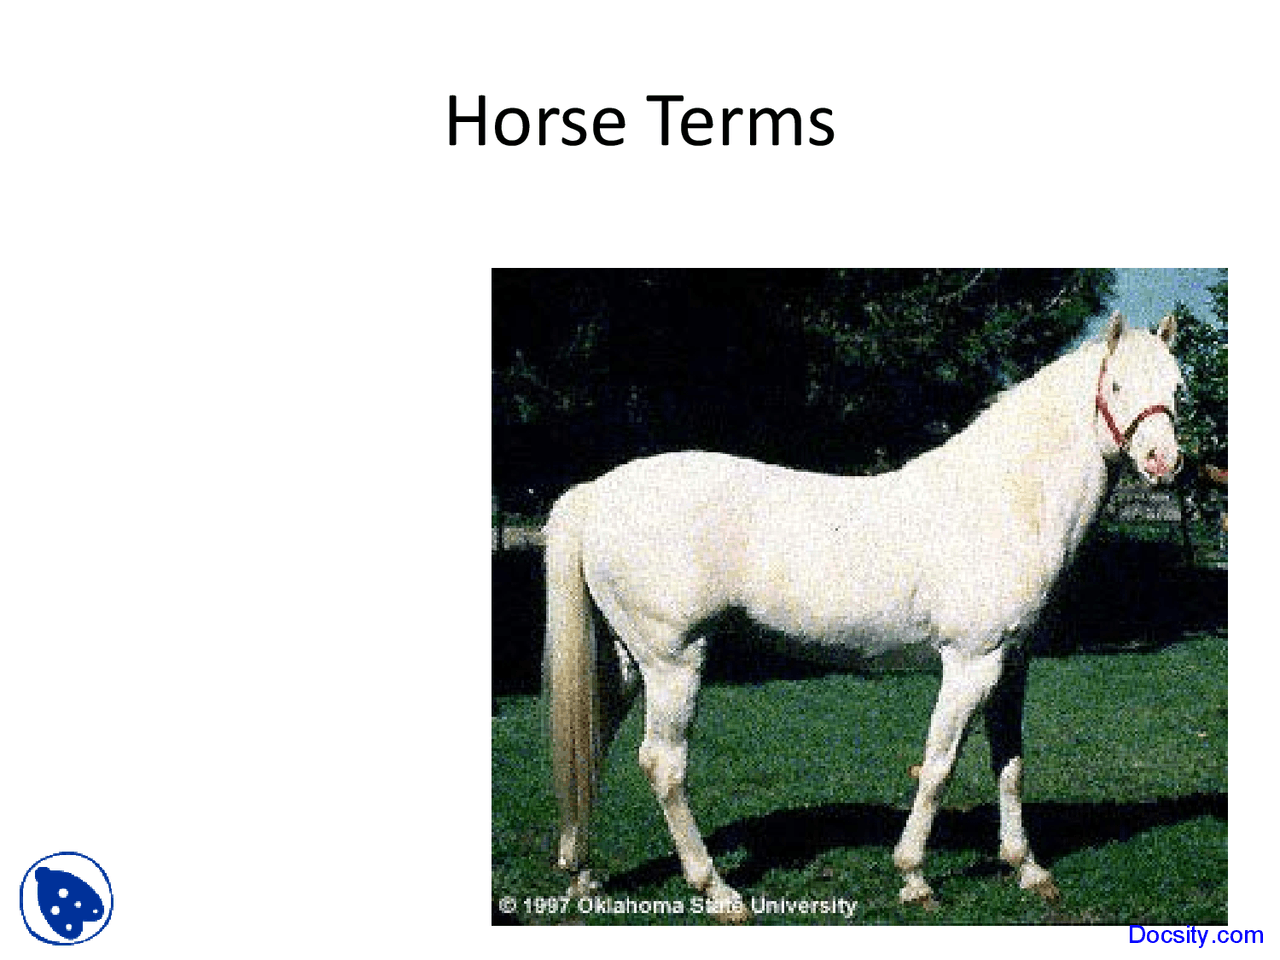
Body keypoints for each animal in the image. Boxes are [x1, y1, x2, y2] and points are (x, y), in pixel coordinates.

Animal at [543, 311, 1182, 918]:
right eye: (1117, 385)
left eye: (1177, 386)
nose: (1163, 462)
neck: (1004, 500)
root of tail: (595, 495)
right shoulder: (970, 663)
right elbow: (939, 765)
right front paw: (914, 877)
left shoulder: (1011, 665)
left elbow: (1010, 764)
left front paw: (1028, 869)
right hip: (674, 662)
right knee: (663, 764)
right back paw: (717, 891)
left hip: (628, 663)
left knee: (590, 747)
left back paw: (582, 874)